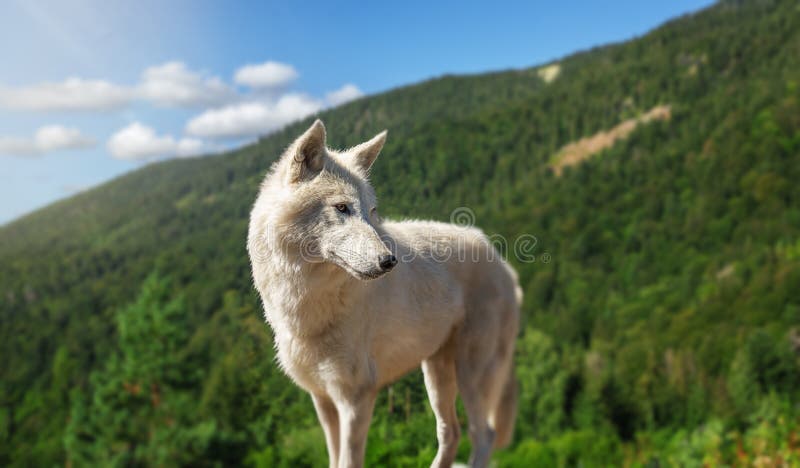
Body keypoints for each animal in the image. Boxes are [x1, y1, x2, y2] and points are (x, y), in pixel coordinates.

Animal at [247, 119, 521, 468]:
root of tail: (503, 264)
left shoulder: (356, 399)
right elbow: (334, 459)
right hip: (436, 374)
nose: (389, 261)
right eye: (342, 208)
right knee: (451, 433)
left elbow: (349, 461)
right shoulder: (322, 399)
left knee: (482, 434)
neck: (307, 305)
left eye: (372, 212)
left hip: (471, 375)